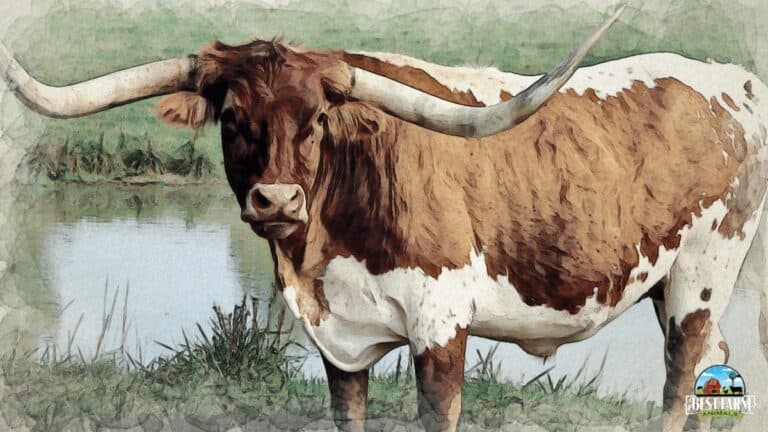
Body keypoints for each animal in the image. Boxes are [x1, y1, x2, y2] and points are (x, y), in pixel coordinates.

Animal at [2, 6, 768, 432]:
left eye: (318, 119)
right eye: (233, 118)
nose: (276, 202)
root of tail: (731, 77)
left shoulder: (441, 325)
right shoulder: (337, 344)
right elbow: (349, 413)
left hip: (702, 276)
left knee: (678, 383)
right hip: (672, 289)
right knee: (716, 366)